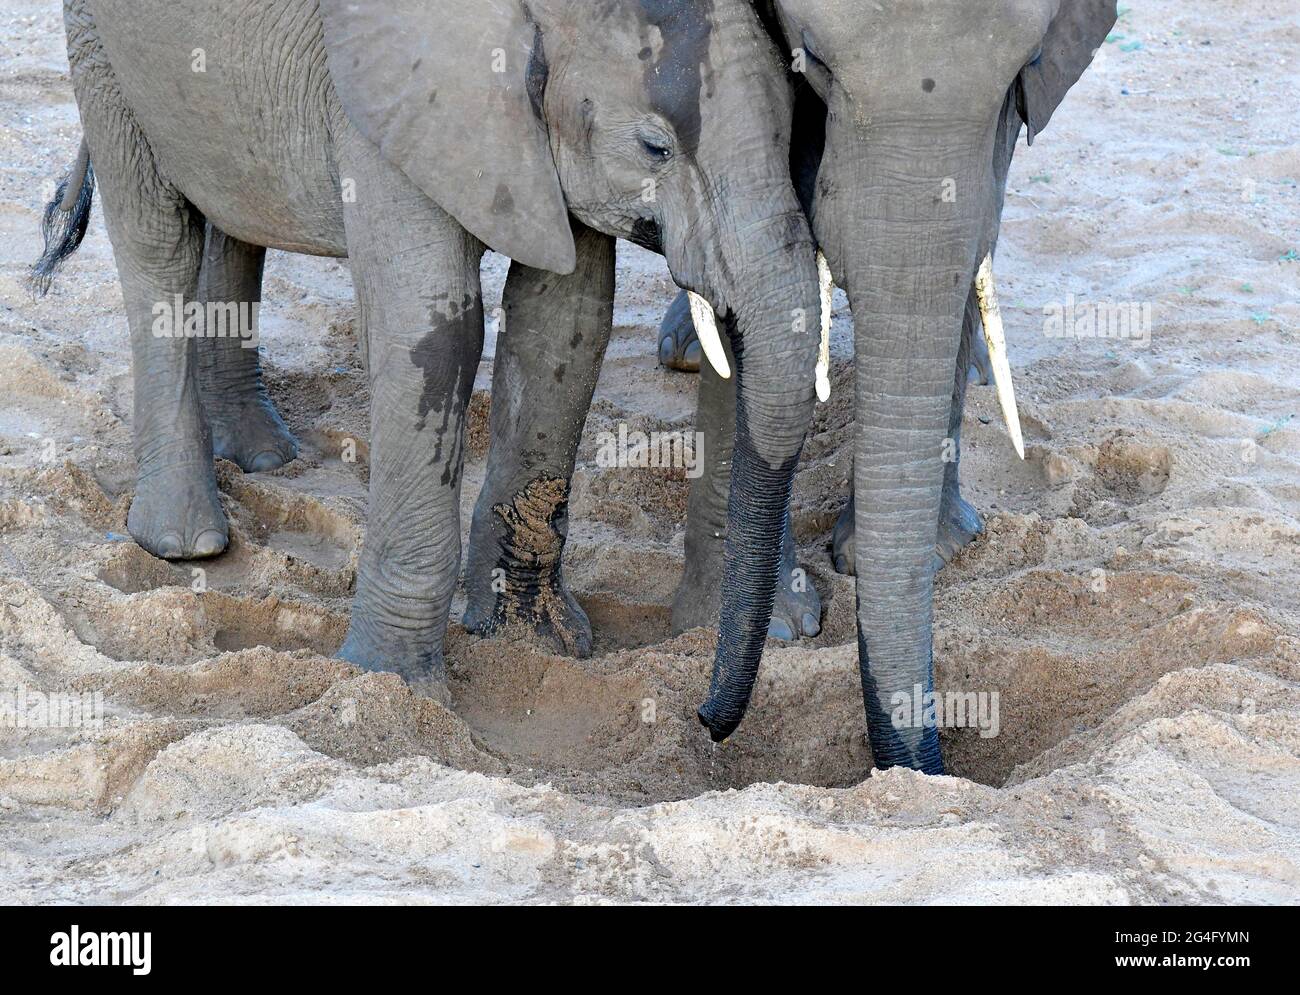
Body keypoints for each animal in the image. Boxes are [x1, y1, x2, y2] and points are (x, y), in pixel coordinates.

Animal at [33, 0, 828, 682]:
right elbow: (435, 329)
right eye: (654, 147)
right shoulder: (389, 98)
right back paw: (184, 540)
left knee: (232, 208)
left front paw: (529, 641)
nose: (709, 720)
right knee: (156, 233)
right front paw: (390, 681)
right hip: (98, 40)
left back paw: (261, 457)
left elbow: (565, 321)